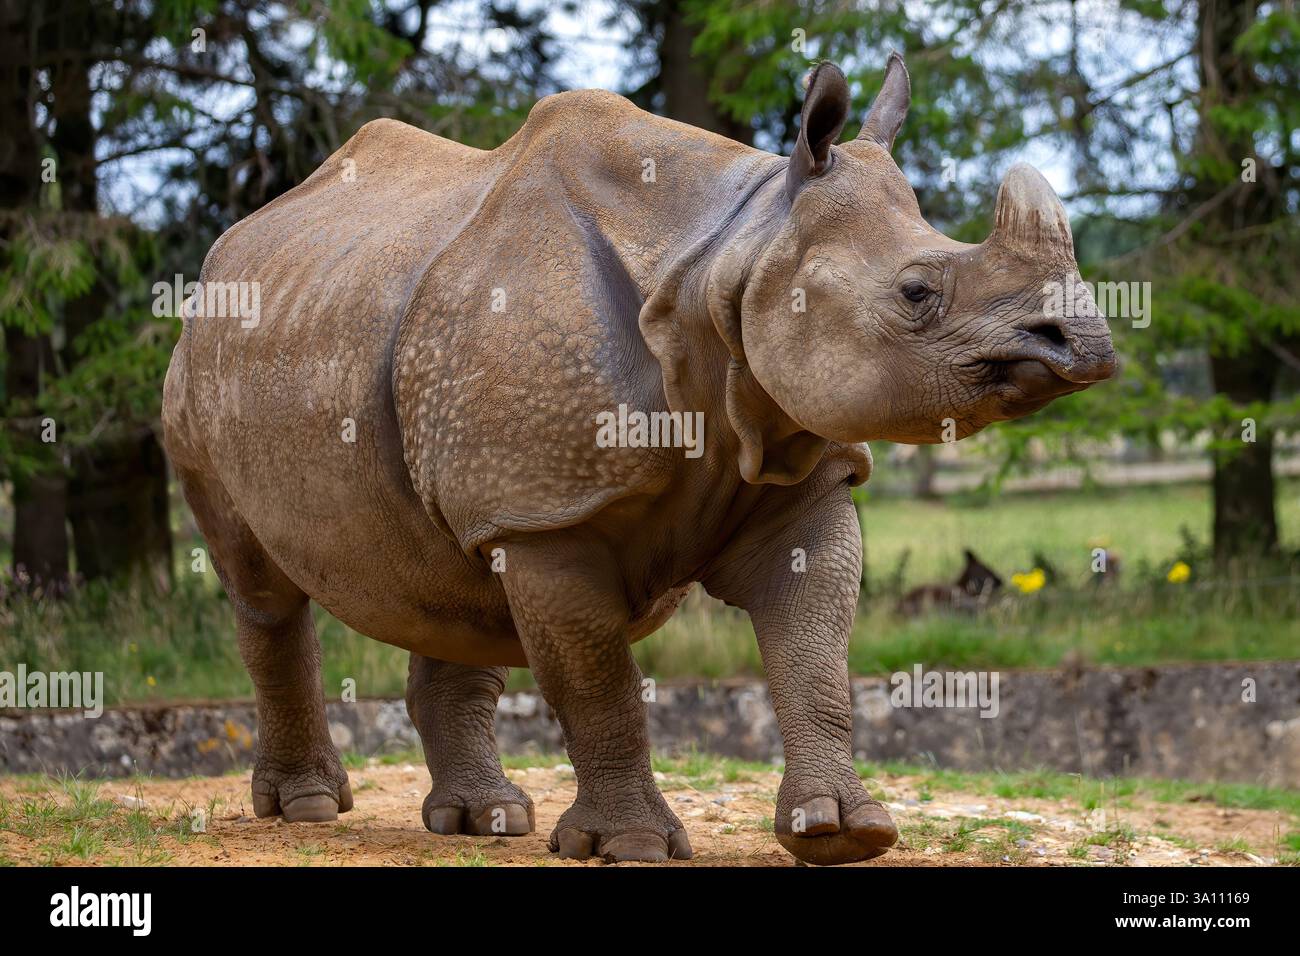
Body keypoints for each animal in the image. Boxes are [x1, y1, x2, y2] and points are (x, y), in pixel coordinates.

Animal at [162, 55, 1115, 865]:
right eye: (918, 293)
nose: (1088, 345)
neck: (730, 256)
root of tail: (238, 242)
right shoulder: (548, 512)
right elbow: (600, 684)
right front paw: (630, 847)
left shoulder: (791, 467)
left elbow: (815, 652)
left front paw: (844, 832)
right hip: (205, 360)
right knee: (263, 588)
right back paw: (308, 809)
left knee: (453, 576)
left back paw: (487, 821)